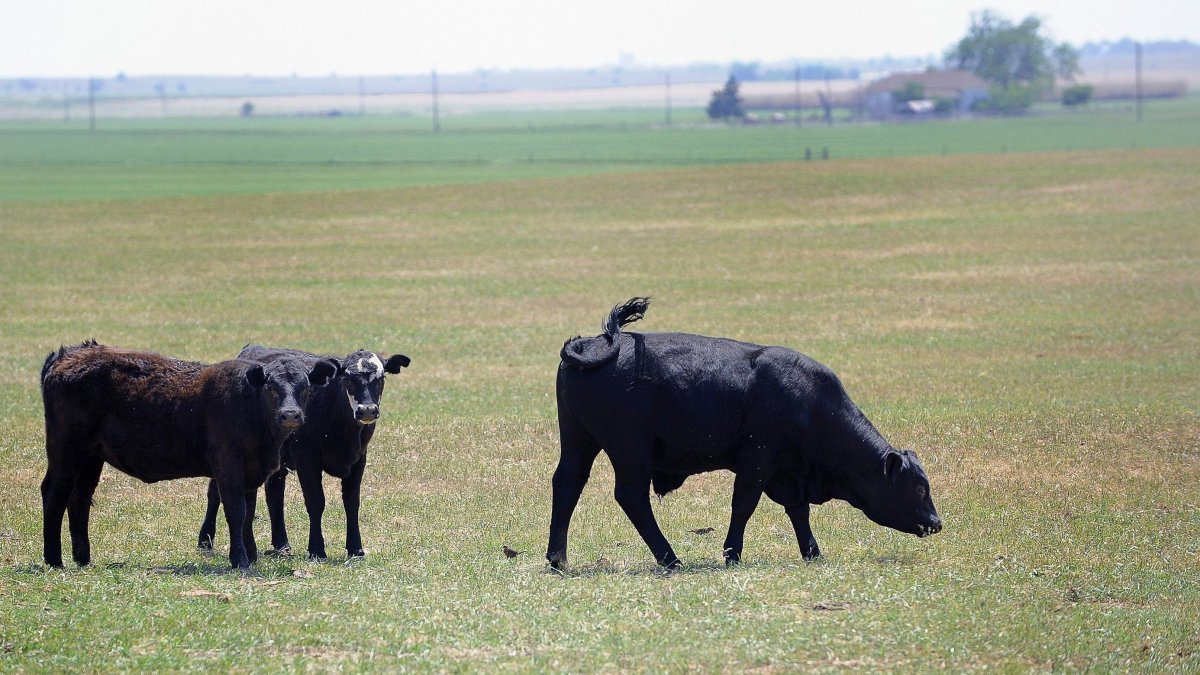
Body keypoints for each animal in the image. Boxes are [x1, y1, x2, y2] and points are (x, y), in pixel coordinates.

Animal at [39, 340, 337, 569]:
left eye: (305, 387)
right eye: (271, 387)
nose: (290, 415)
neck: (247, 404)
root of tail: (68, 355)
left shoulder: (252, 470)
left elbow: (249, 512)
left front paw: (251, 555)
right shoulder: (228, 466)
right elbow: (236, 511)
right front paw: (239, 559)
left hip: (90, 457)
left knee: (79, 498)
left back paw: (83, 558)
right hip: (65, 451)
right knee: (54, 494)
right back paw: (54, 559)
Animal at [197, 345, 410, 560]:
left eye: (381, 378)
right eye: (348, 378)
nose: (366, 410)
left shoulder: (359, 458)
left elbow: (352, 502)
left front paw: (356, 549)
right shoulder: (306, 457)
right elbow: (316, 501)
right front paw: (317, 549)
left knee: (275, 494)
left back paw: (282, 544)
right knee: (215, 492)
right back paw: (205, 540)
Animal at [548, 298, 942, 570]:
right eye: (919, 488)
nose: (936, 522)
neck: (808, 400)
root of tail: (594, 343)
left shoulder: (788, 473)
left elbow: (798, 512)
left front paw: (812, 552)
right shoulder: (757, 460)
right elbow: (744, 505)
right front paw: (732, 554)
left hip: (579, 442)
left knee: (567, 484)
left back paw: (558, 559)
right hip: (630, 449)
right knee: (631, 497)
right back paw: (670, 558)